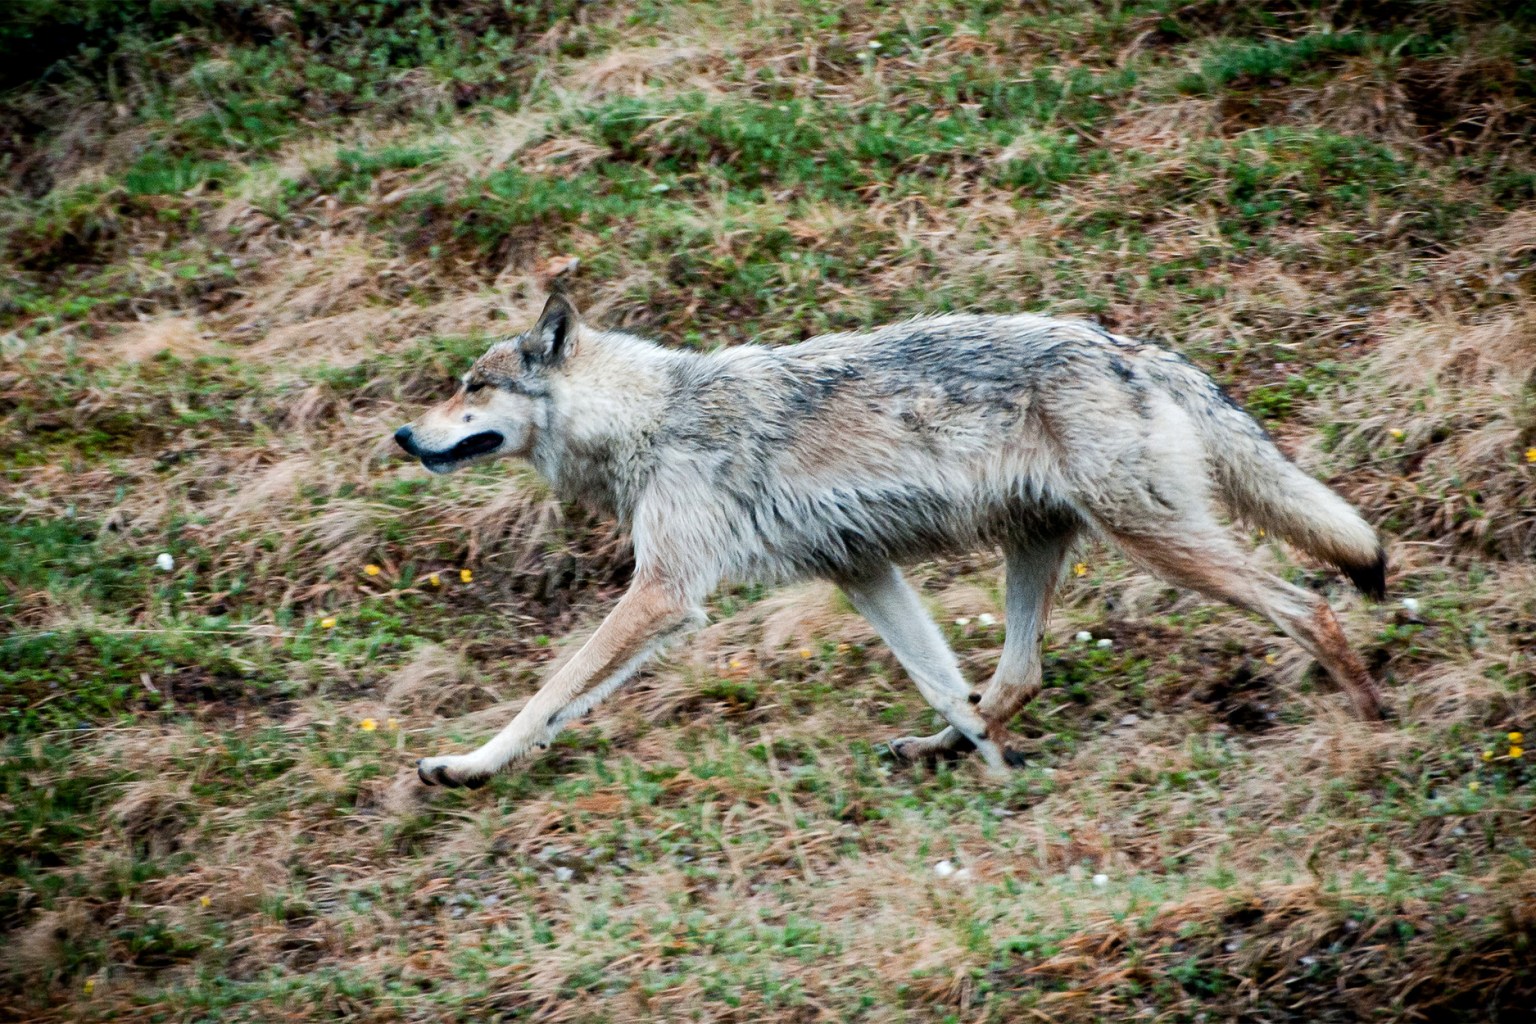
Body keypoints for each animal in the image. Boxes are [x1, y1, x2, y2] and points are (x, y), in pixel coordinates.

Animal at [394, 295, 1386, 788]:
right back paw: (948, 751)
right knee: (1012, 681)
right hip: (1040, 548)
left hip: (1156, 538)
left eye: (471, 388)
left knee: (1307, 607)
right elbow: (942, 681)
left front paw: (467, 766)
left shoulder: (665, 594)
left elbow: (548, 695)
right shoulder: (862, 572)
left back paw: (1375, 722)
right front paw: (996, 771)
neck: (654, 419)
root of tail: (1136, 348)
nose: (404, 435)